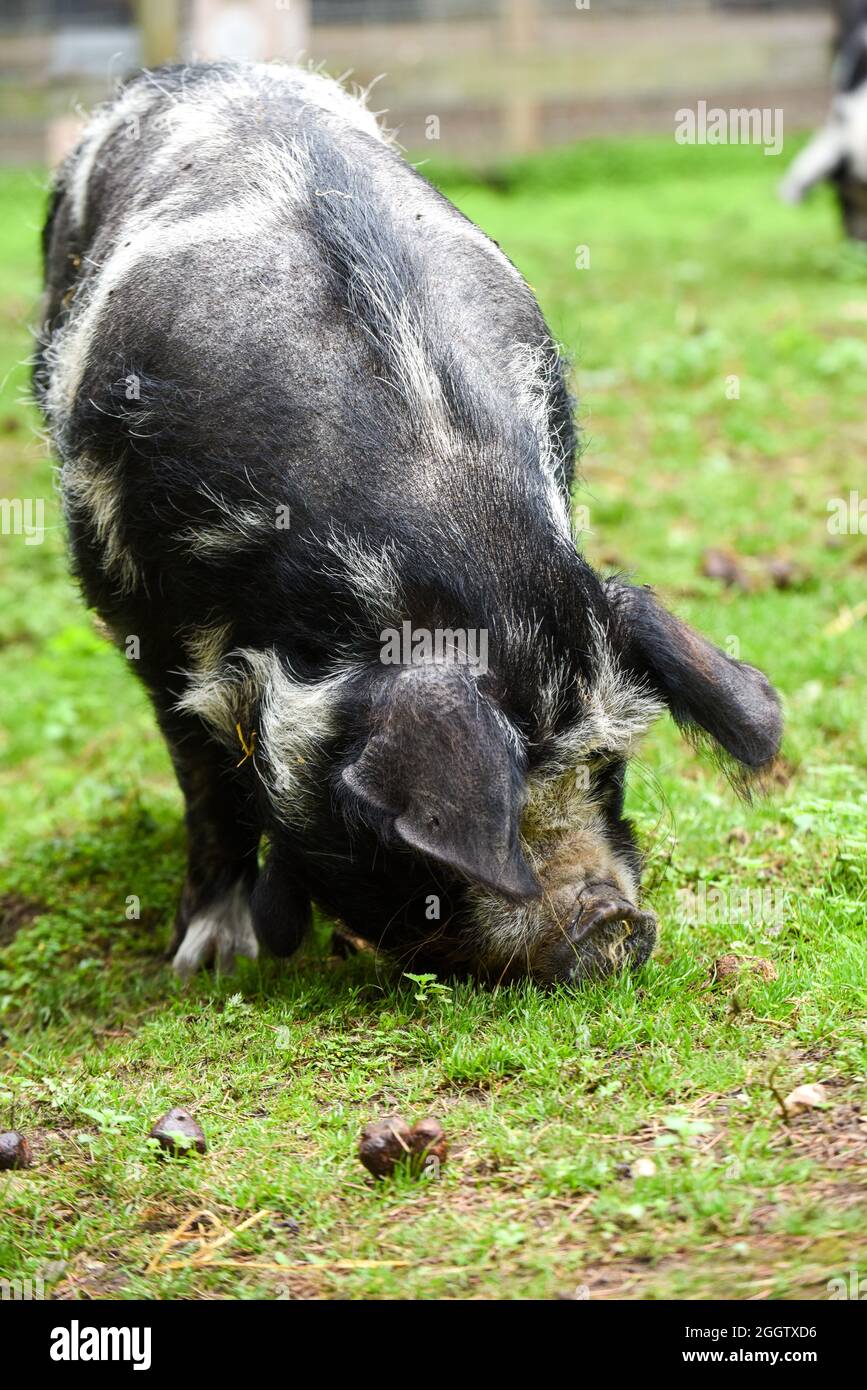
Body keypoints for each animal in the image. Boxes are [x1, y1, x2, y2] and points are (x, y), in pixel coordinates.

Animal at [35, 62, 782, 987]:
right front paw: (211, 960)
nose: (611, 925)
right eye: (407, 835)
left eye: (607, 764)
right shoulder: (142, 610)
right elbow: (206, 779)